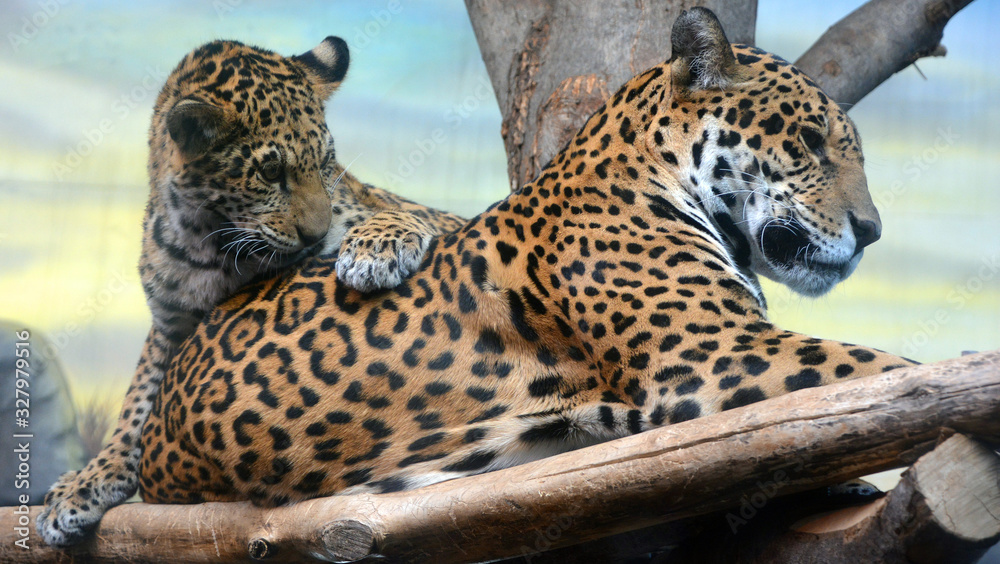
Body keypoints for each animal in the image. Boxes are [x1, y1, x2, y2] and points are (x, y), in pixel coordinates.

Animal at [36, 37, 464, 547]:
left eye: (326, 162)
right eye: (270, 171)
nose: (317, 235)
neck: (212, 246)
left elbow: (401, 211)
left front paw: (374, 248)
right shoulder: (169, 324)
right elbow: (136, 403)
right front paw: (88, 481)